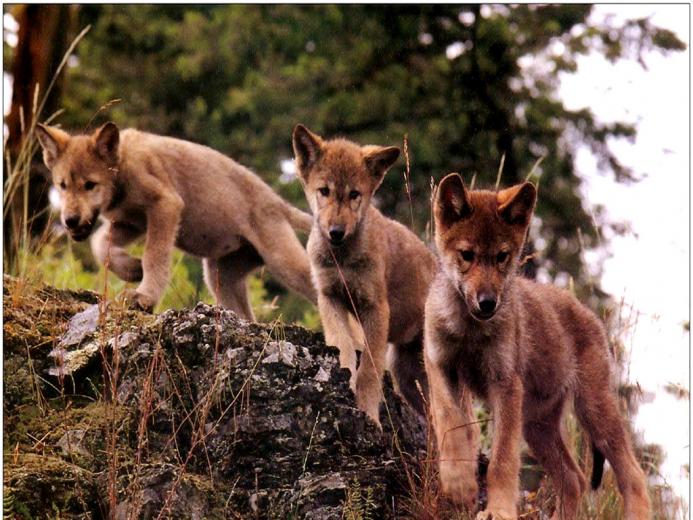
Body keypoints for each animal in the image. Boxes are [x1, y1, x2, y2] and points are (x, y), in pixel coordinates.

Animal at [35, 122, 316, 318]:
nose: (70, 220)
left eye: (90, 185)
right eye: (62, 185)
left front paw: (144, 296)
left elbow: (154, 255)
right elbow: (100, 244)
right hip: (220, 276)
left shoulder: (165, 205)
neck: (123, 164)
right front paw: (132, 269)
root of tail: (277, 202)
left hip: (284, 262)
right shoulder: (130, 222)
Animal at [292, 124, 436, 424]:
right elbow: (343, 344)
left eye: (354, 194)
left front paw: (369, 414)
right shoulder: (330, 297)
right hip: (408, 377)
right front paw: (344, 378)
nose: (336, 231)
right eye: (324, 191)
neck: (343, 258)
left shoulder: (376, 308)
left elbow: (369, 370)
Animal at [424, 173, 650, 519]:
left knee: (633, 475)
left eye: (502, 256)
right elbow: (452, 427)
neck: (468, 328)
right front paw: (459, 484)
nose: (487, 303)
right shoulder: (440, 367)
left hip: (593, 410)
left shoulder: (505, 384)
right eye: (467, 255)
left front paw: (498, 510)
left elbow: (501, 461)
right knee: (575, 479)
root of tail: (588, 314)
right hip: (537, 425)